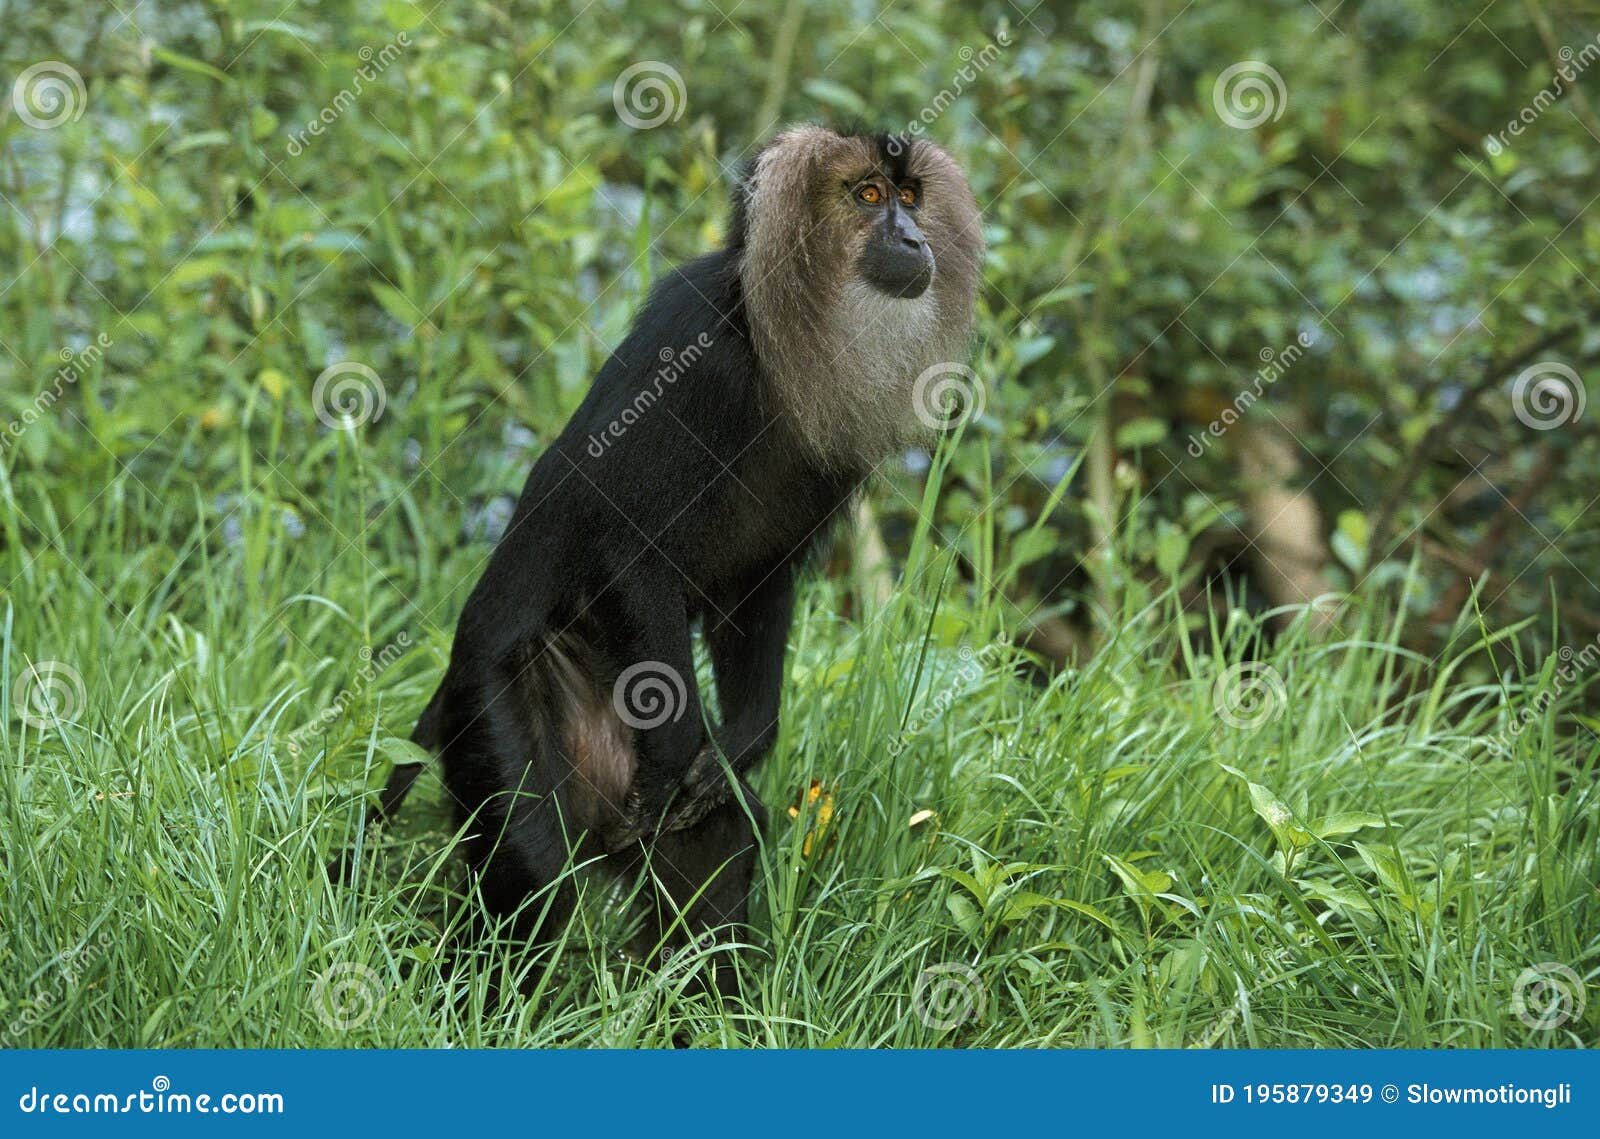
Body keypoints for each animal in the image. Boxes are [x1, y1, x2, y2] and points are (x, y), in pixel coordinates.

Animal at [354, 125, 983, 988]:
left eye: (912, 197)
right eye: (868, 196)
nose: (914, 238)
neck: (768, 334)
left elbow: (758, 582)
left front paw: (739, 745)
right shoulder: (697, 355)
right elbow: (630, 547)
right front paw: (690, 758)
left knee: (713, 848)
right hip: (494, 698)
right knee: (533, 864)